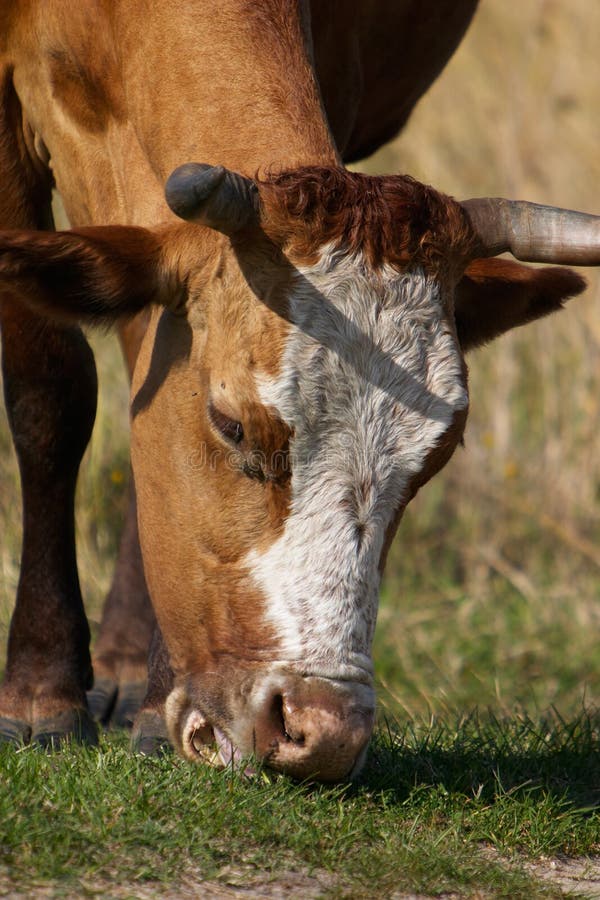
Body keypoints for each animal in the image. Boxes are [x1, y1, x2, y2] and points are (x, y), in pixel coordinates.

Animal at [0, 0, 599, 782]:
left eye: (436, 460)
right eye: (230, 425)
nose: (325, 731)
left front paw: (156, 710)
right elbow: (49, 385)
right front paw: (40, 694)